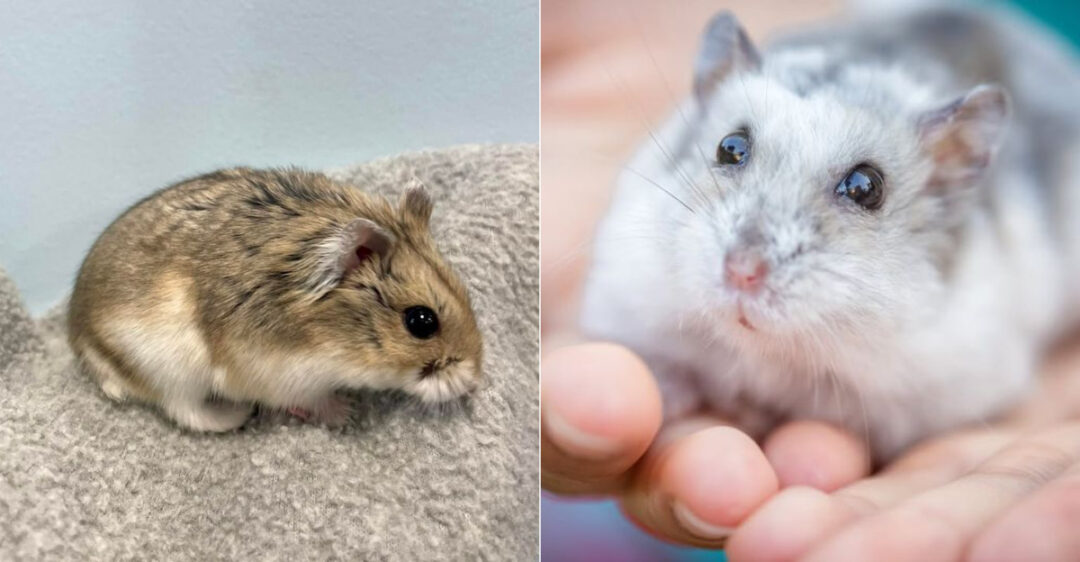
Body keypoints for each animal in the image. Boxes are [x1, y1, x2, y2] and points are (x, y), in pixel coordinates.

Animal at [68, 167, 483, 432]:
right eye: (421, 322)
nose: (474, 382)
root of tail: (79, 336)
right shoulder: (283, 375)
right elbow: (309, 401)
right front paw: (346, 412)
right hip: (167, 368)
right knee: (188, 414)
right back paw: (237, 415)